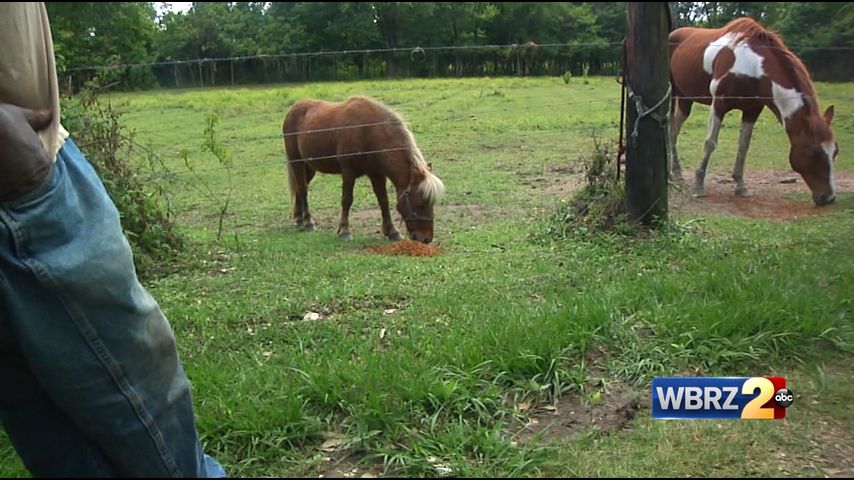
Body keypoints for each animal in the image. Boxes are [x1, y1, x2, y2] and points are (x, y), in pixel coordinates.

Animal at [282, 96, 445, 243]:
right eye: (420, 203)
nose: (426, 238)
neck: (368, 131)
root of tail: (293, 109)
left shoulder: (377, 174)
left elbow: (383, 200)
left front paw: (392, 231)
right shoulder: (348, 172)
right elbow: (347, 200)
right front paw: (345, 231)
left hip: (309, 167)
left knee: (300, 187)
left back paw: (299, 219)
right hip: (297, 163)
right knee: (302, 189)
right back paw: (308, 222)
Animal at [669, 17, 838, 206]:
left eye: (835, 151)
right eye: (814, 152)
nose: (829, 197)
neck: (751, 65)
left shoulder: (752, 110)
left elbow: (744, 146)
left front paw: (740, 186)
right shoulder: (718, 105)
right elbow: (710, 143)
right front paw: (698, 186)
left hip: (686, 99)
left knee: (674, 129)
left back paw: (676, 172)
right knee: (670, 130)